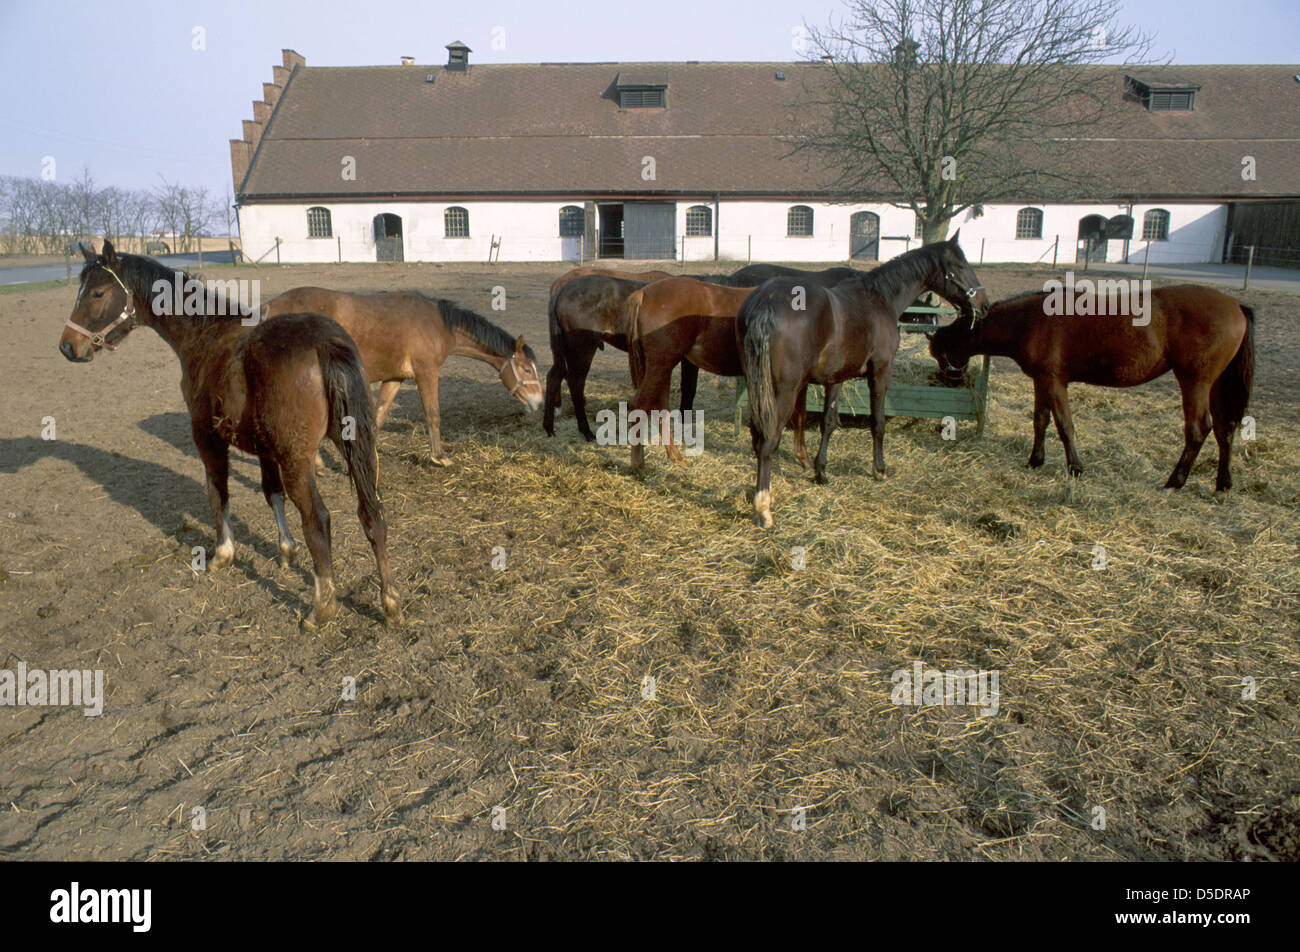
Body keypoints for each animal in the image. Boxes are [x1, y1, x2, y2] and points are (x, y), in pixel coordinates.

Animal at [59, 242, 401, 627]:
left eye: (98, 293)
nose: (68, 346)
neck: (206, 335)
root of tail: (324, 342)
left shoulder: (207, 437)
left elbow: (217, 492)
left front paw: (223, 553)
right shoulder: (265, 448)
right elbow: (272, 494)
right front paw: (286, 551)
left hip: (298, 462)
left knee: (319, 521)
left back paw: (322, 607)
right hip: (355, 446)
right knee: (372, 513)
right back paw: (390, 601)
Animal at [264, 288, 543, 466]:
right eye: (527, 370)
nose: (539, 402)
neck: (437, 324)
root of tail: (269, 307)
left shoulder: (395, 378)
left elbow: (379, 416)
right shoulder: (426, 372)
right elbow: (433, 414)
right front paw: (440, 457)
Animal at [625, 276, 758, 473]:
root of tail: (643, 294)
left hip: (661, 367)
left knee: (659, 408)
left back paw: (675, 456)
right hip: (661, 364)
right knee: (640, 405)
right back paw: (639, 464)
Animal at [737, 234, 989, 528]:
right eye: (959, 265)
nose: (984, 304)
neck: (880, 299)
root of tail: (765, 301)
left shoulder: (835, 378)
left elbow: (828, 423)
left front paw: (821, 472)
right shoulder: (881, 372)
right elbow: (877, 422)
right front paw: (879, 469)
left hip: (758, 385)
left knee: (757, 434)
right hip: (784, 390)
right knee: (768, 439)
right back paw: (763, 506)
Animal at [928, 284, 1255, 491]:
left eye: (942, 352)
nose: (949, 380)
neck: (1031, 321)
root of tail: (1236, 305)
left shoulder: (1055, 382)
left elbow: (1064, 425)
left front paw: (1075, 468)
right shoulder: (1041, 381)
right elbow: (1040, 421)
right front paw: (1035, 461)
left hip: (1195, 382)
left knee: (1198, 430)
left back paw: (1175, 482)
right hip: (1215, 385)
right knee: (1225, 429)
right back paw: (1223, 483)